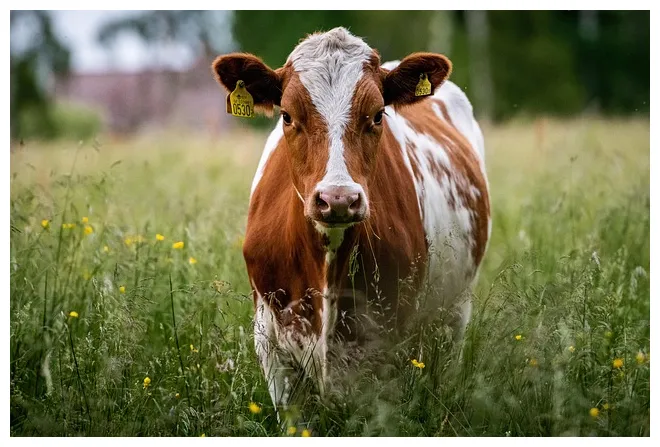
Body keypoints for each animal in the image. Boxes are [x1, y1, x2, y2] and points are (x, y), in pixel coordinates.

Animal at [212, 27, 491, 414]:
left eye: (377, 115)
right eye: (287, 115)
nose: (338, 198)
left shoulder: (388, 346)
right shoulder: (271, 345)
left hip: (455, 312)